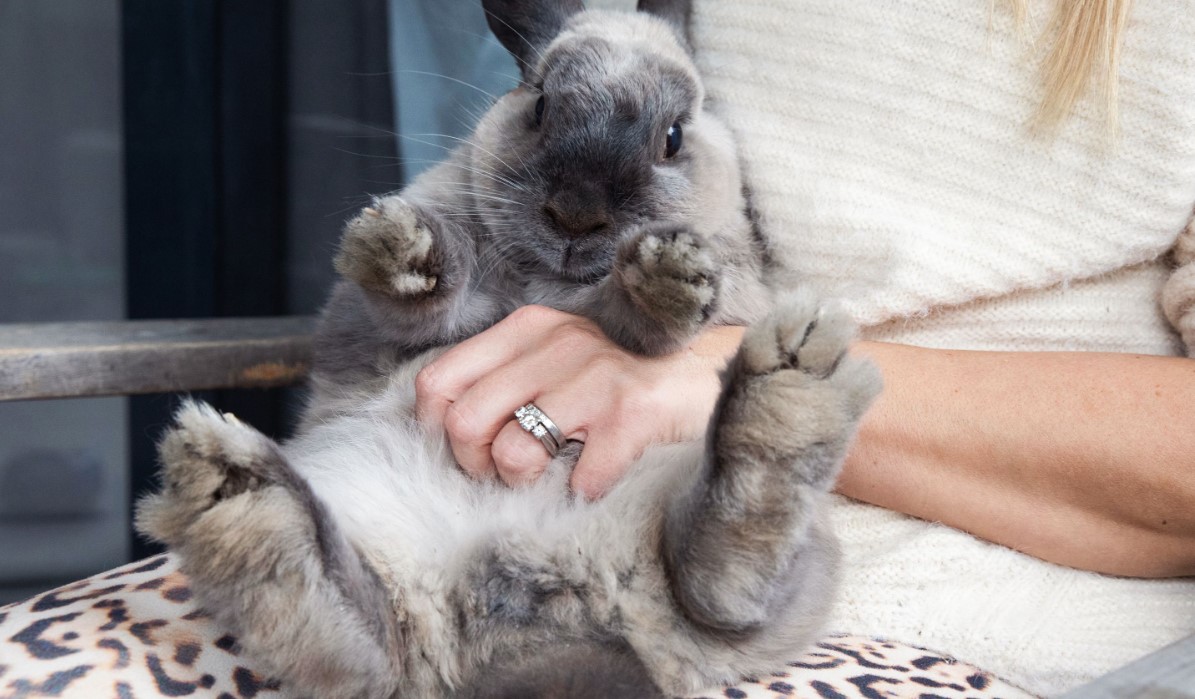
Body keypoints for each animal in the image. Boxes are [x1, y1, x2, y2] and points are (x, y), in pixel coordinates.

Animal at [134, 0, 881, 697]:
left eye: (672, 136)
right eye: (540, 103)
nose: (577, 213)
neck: (553, 278)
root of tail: (525, 615)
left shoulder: (706, 299)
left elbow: (630, 319)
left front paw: (666, 276)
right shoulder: (407, 323)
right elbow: (437, 298)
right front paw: (398, 247)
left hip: (762, 553)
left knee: (718, 585)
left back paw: (785, 391)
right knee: (359, 641)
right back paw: (236, 493)